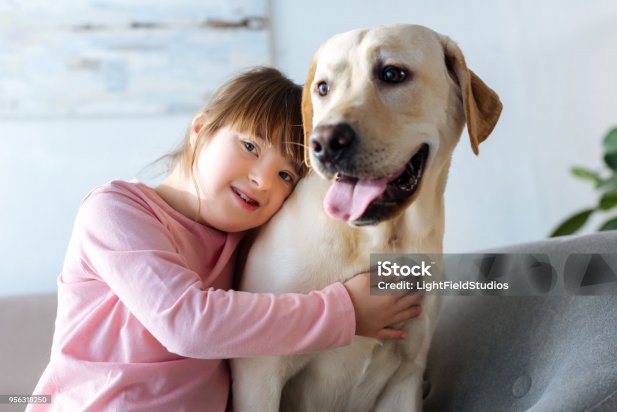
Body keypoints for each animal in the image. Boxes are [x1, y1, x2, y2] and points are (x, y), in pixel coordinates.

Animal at [231, 24, 500, 410]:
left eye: (392, 74)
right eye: (323, 88)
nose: (325, 142)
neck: (382, 241)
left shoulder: (406, 377)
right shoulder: (259, 373)